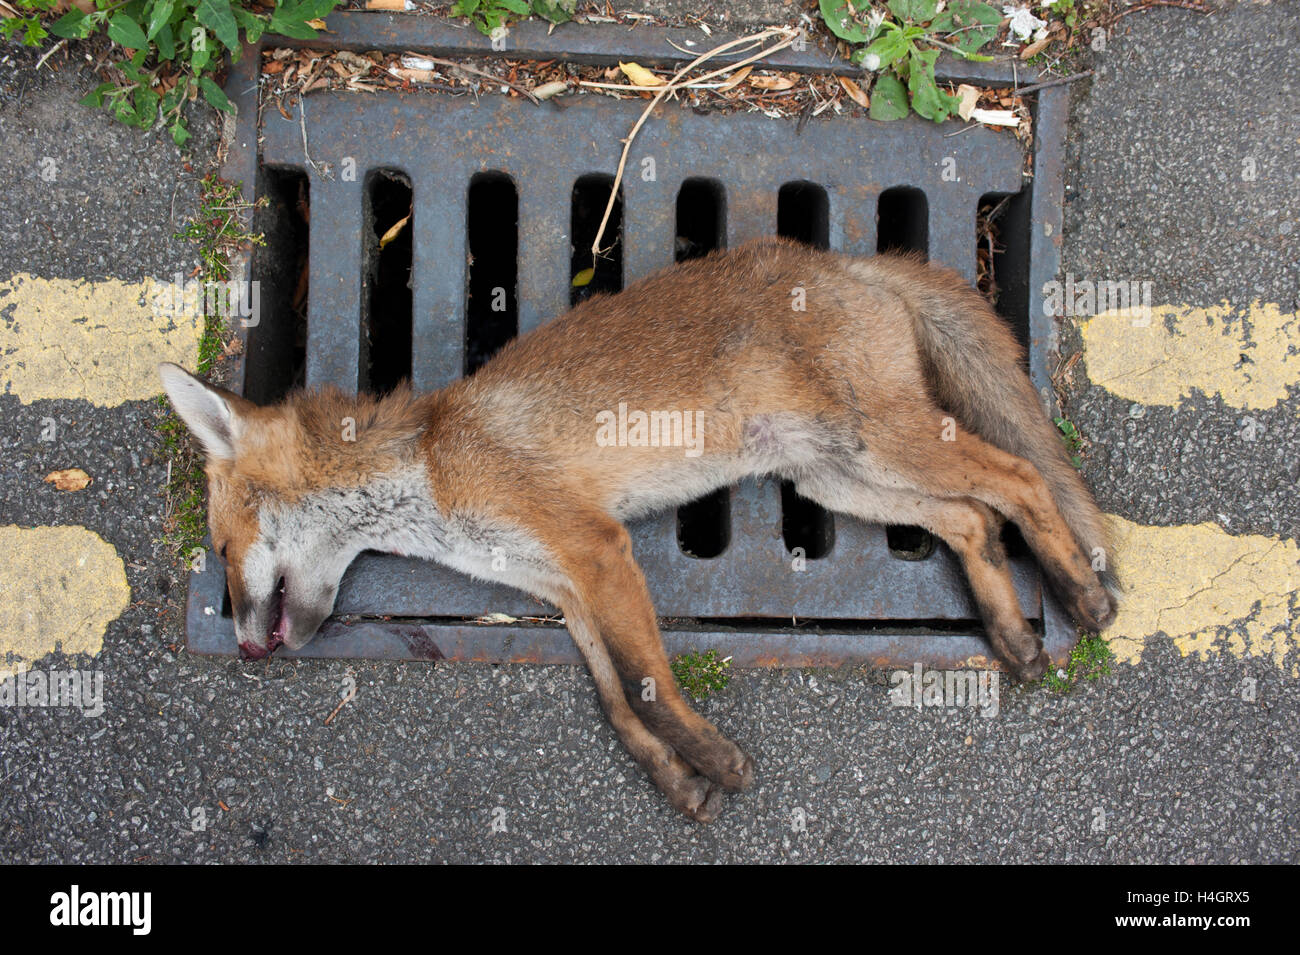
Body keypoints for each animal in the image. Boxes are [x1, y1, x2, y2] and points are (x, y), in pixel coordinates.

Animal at [159, 237, 1117, 822]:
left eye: (222, 551)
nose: (244, 646)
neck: (427, 468)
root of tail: (852, 259)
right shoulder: (561, 584)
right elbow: (616, 698)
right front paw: (677, 778)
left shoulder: (596, 548)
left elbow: (649, 681)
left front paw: (716, 759)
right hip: (841, 477)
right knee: (972, 517)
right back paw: (1010, 634)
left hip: (880, 442)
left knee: (1022, 478)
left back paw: (1079, 594)